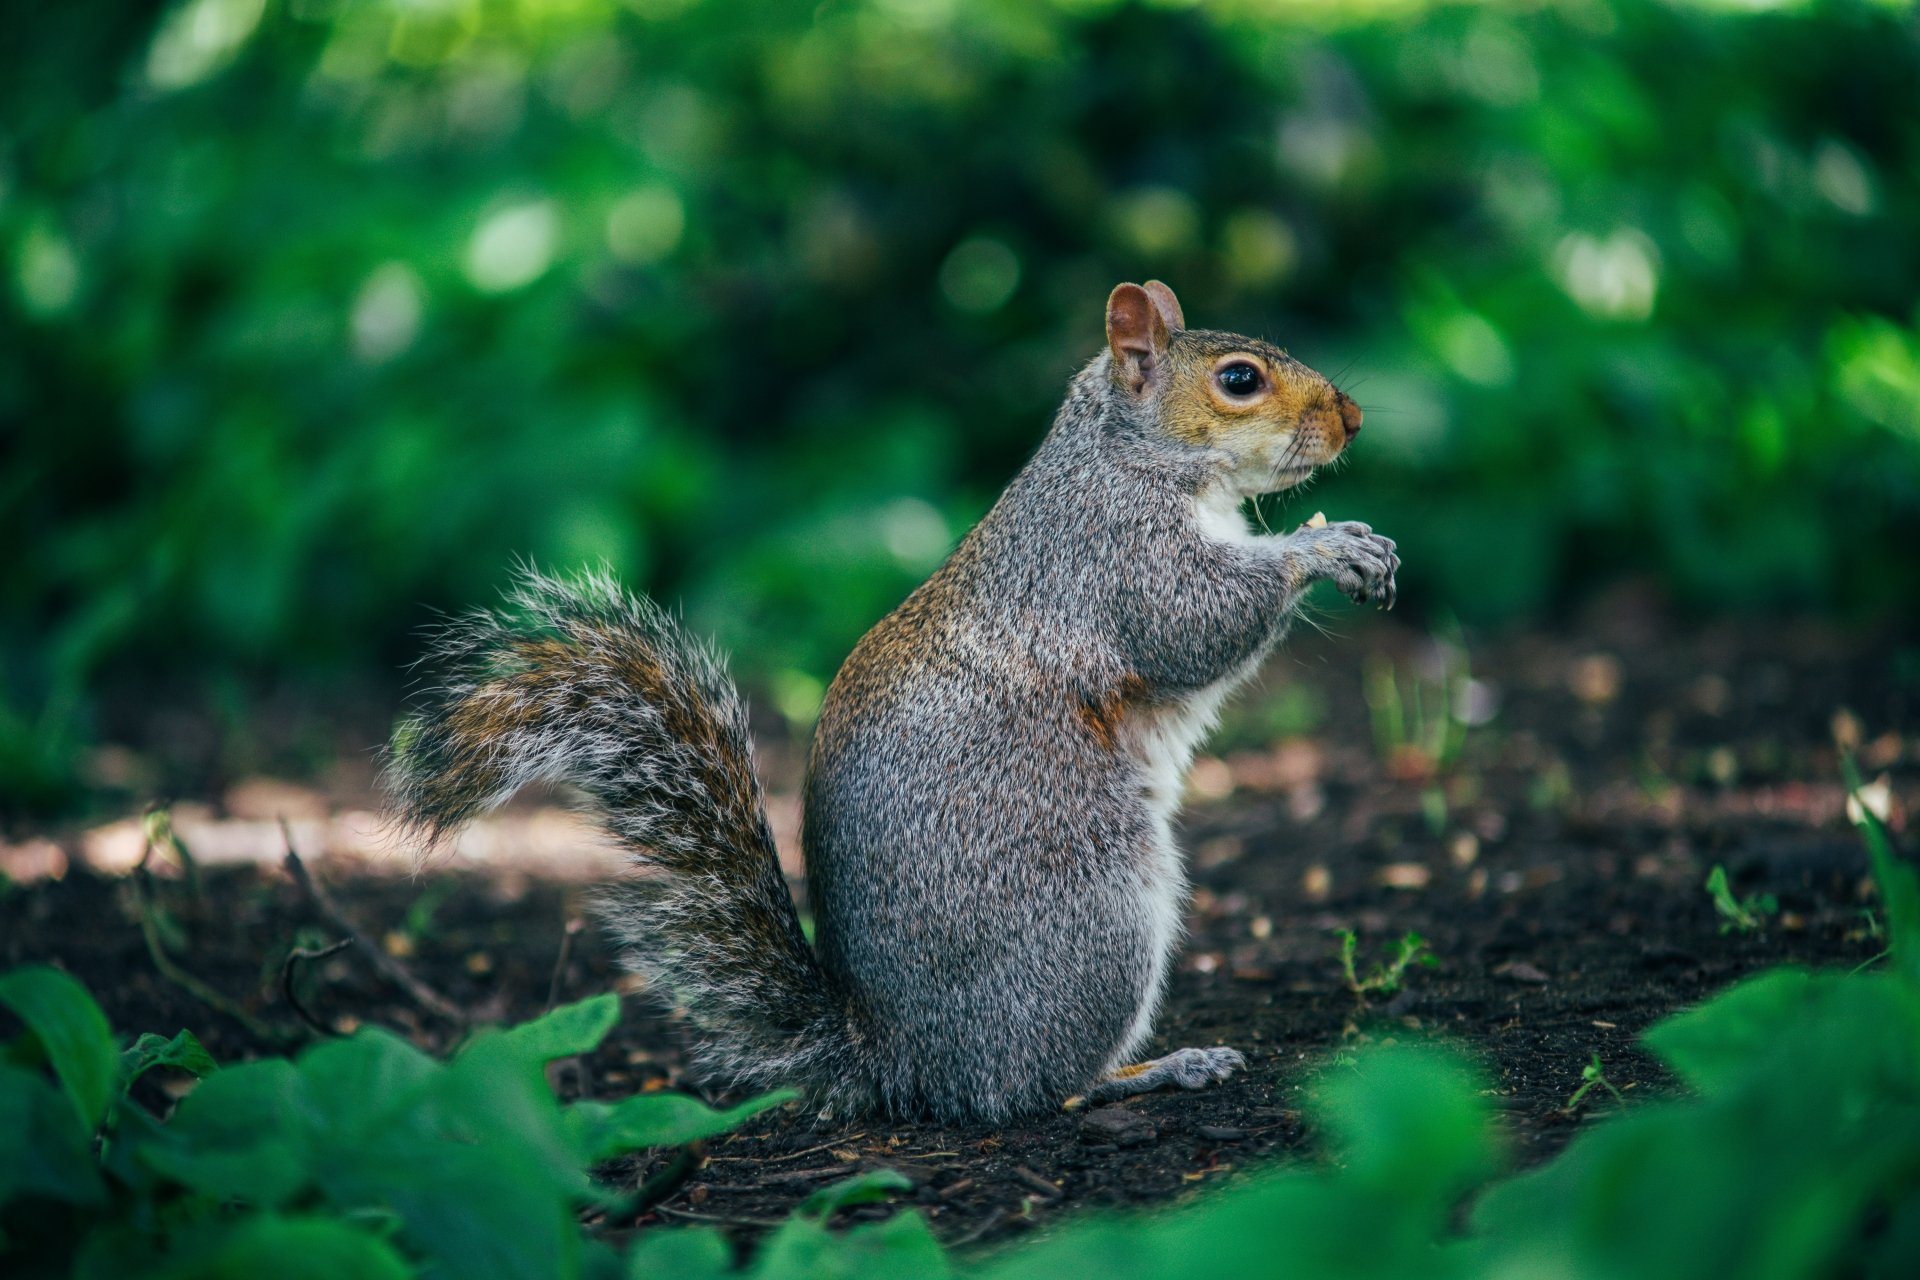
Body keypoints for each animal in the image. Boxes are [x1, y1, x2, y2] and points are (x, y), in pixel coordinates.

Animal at [384, 280, 1398, 1122]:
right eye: (1239, 380)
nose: (1352, 419)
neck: (1131, 456)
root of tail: (900, 1059)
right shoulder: (1115, 556)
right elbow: (1195, 622)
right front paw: (1325, 546)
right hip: (1095, 917)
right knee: (1037, 1090)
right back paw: (1158, 1069)